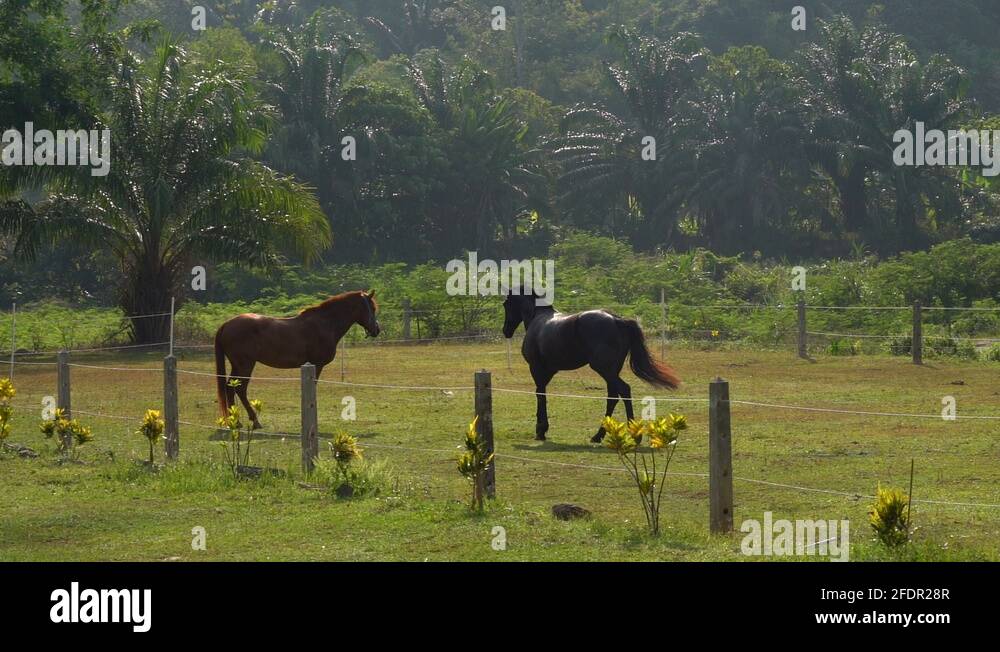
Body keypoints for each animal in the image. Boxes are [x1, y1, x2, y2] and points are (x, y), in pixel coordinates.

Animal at [214, 290, 380, 428]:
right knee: (240, 389)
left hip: (237, 365)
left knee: (230, 387)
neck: (325, 324)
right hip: (245, 365)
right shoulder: (317, 365)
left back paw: (236, 422)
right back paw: (254, 421)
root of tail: (226, 324)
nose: (377, 330)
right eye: (372, 308)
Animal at [502, 292, 680, 443]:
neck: (538, 319)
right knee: (613, 396)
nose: (505, 331)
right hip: (611, 371)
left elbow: (540, 395)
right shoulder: (549, 371)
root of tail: (617, 320)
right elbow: (542, 393)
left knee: (624, 390)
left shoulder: (536, 368)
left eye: (506, 304)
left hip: (604, 369)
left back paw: (634, 435)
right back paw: (598, 435)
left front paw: (540, 431)